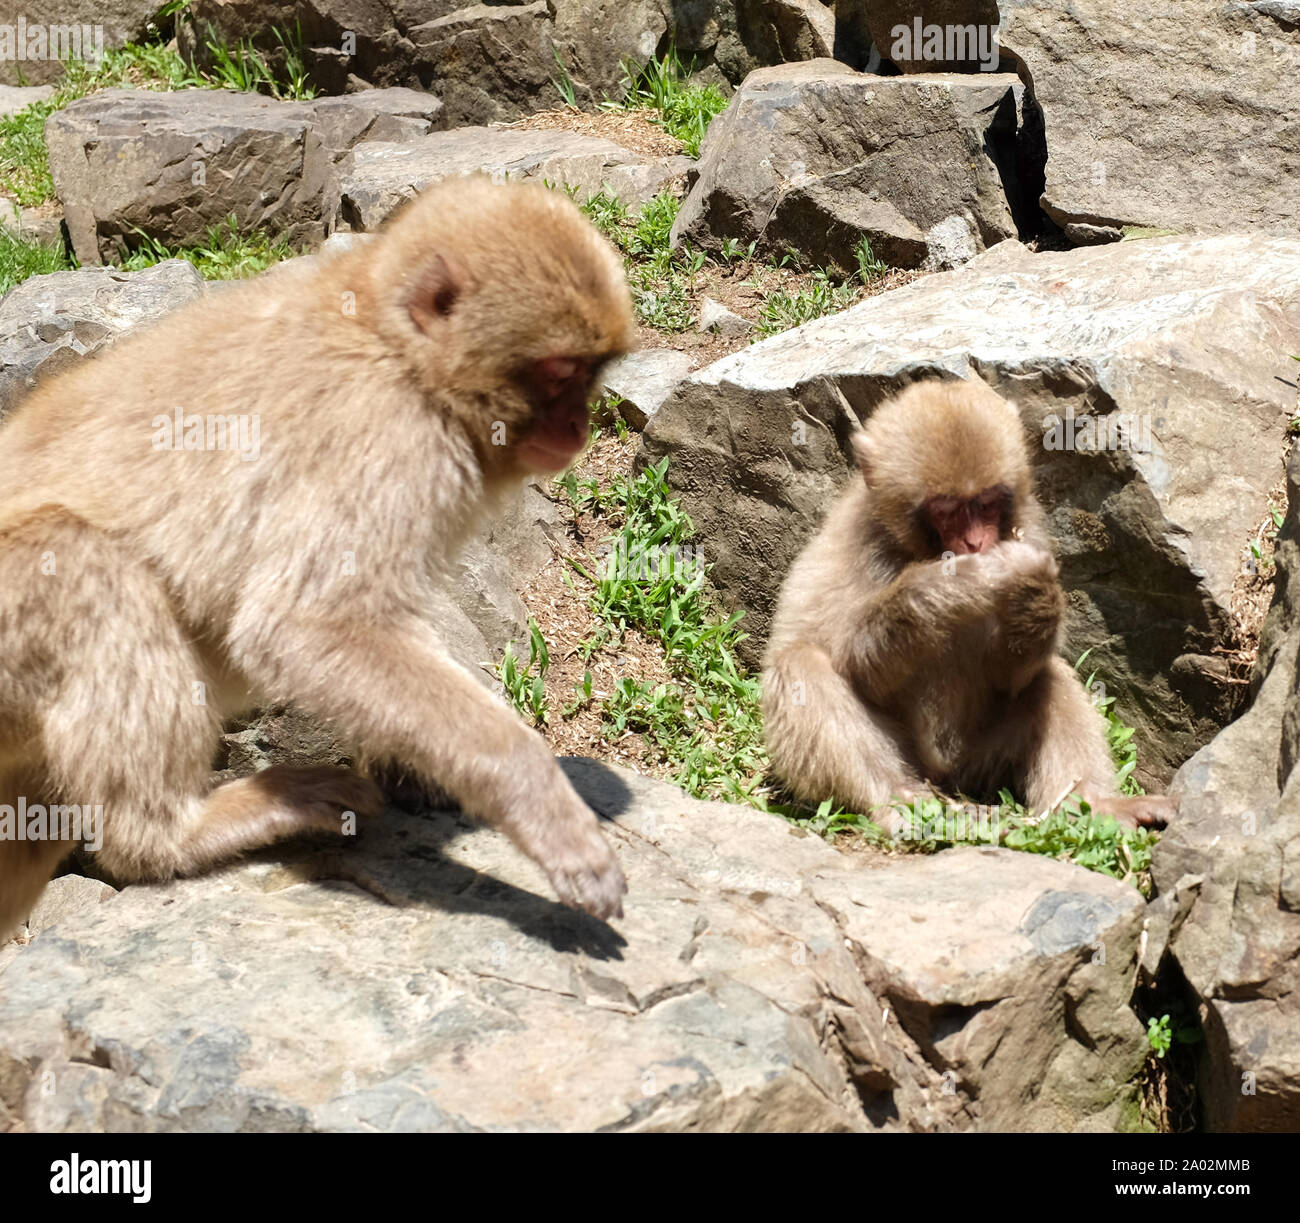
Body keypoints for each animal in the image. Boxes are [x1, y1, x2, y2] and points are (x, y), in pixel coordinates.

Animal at [0, 177, 633, 939]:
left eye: (592, 374)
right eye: (559, 372)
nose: (578, 426)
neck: (395, 348)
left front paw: (415, 766)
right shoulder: (387, 437)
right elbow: (301, 628)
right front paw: (544, 807)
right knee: (86, 561)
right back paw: (174, 834)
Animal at [761, 379, 1177, 834]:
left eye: (986, 503)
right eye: (947, 511)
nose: (977, 543)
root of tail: (944, 773)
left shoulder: (1029, 528)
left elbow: (1013, 677)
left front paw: (1035, 599)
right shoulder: (864, 542)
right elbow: (856, 662)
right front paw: (955, 583)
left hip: (978, 763)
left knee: (1046, 678)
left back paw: (1093, 804)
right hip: (916, 759)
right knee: (801, 664)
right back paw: (897, 799)